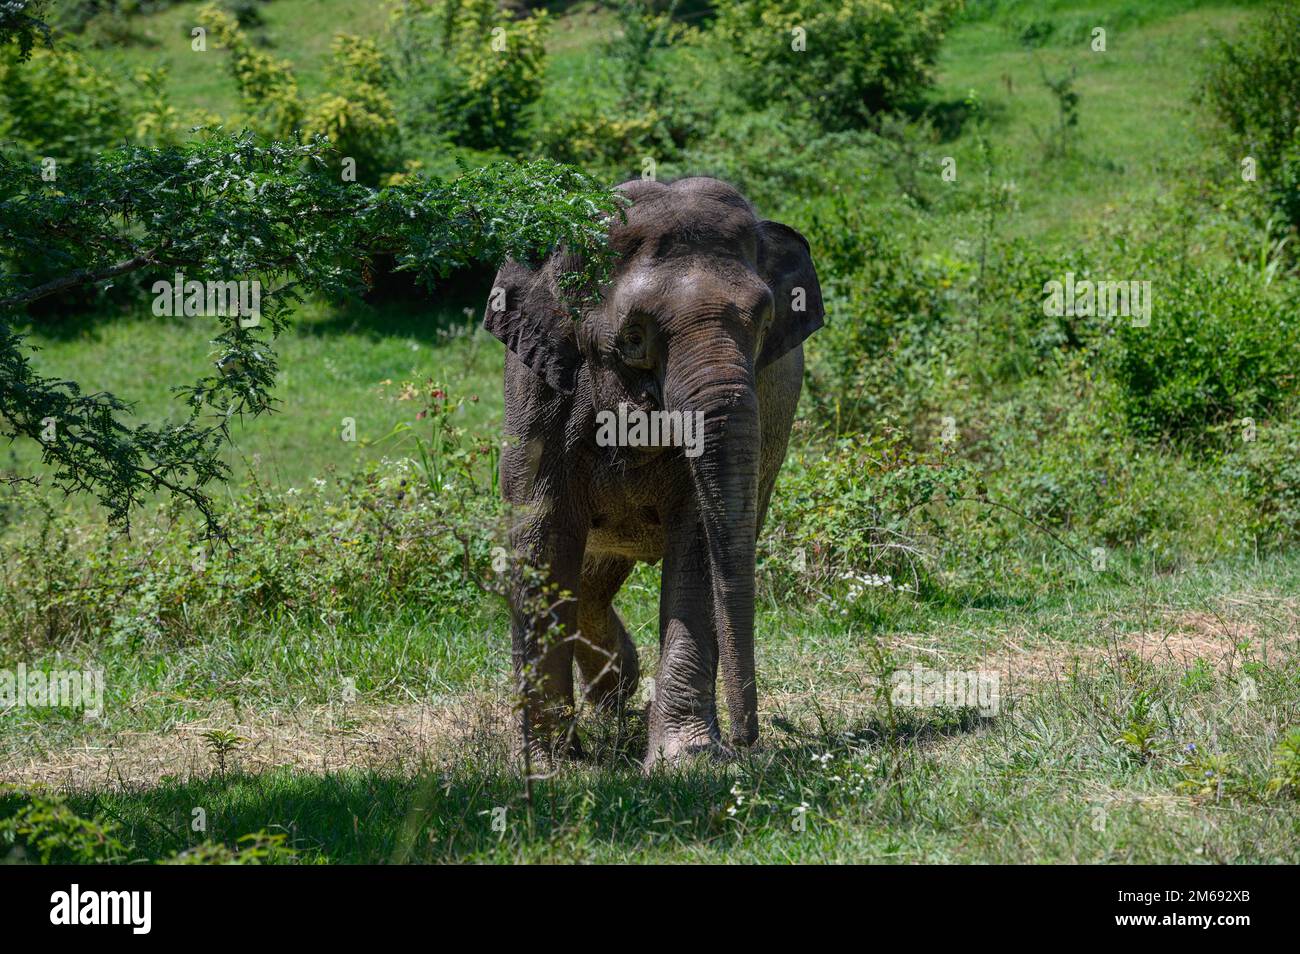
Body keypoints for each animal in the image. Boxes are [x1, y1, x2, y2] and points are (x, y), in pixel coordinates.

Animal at [482, 176, 823, 770]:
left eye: (764, 322)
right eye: (634, 337)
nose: (747, 740)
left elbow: (699, 542)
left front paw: (687, 759)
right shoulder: (536, 390)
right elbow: (542, 539)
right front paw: (546, 766)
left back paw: (620, 697)